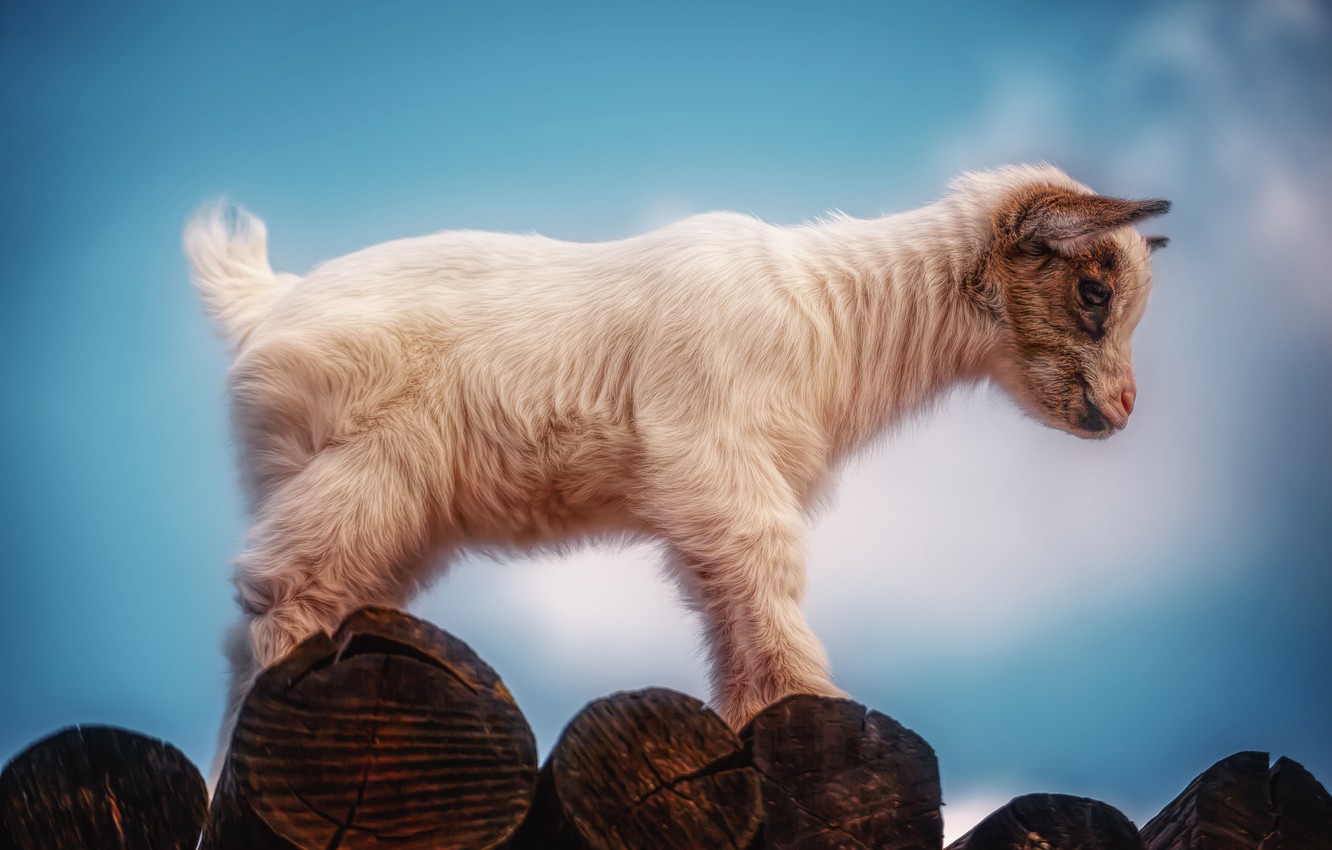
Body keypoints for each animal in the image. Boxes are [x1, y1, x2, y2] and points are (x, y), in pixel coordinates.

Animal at [185, 164, 1169, 758]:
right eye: (1094, 292)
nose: (1125, 410)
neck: (833, 316)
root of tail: (267, 298)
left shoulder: (719, 492)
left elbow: (731, 607)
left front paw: (752, 719)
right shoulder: (723, 471)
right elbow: (765, 584)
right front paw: (803, 703)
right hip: (368, 474)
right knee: (282, 595)